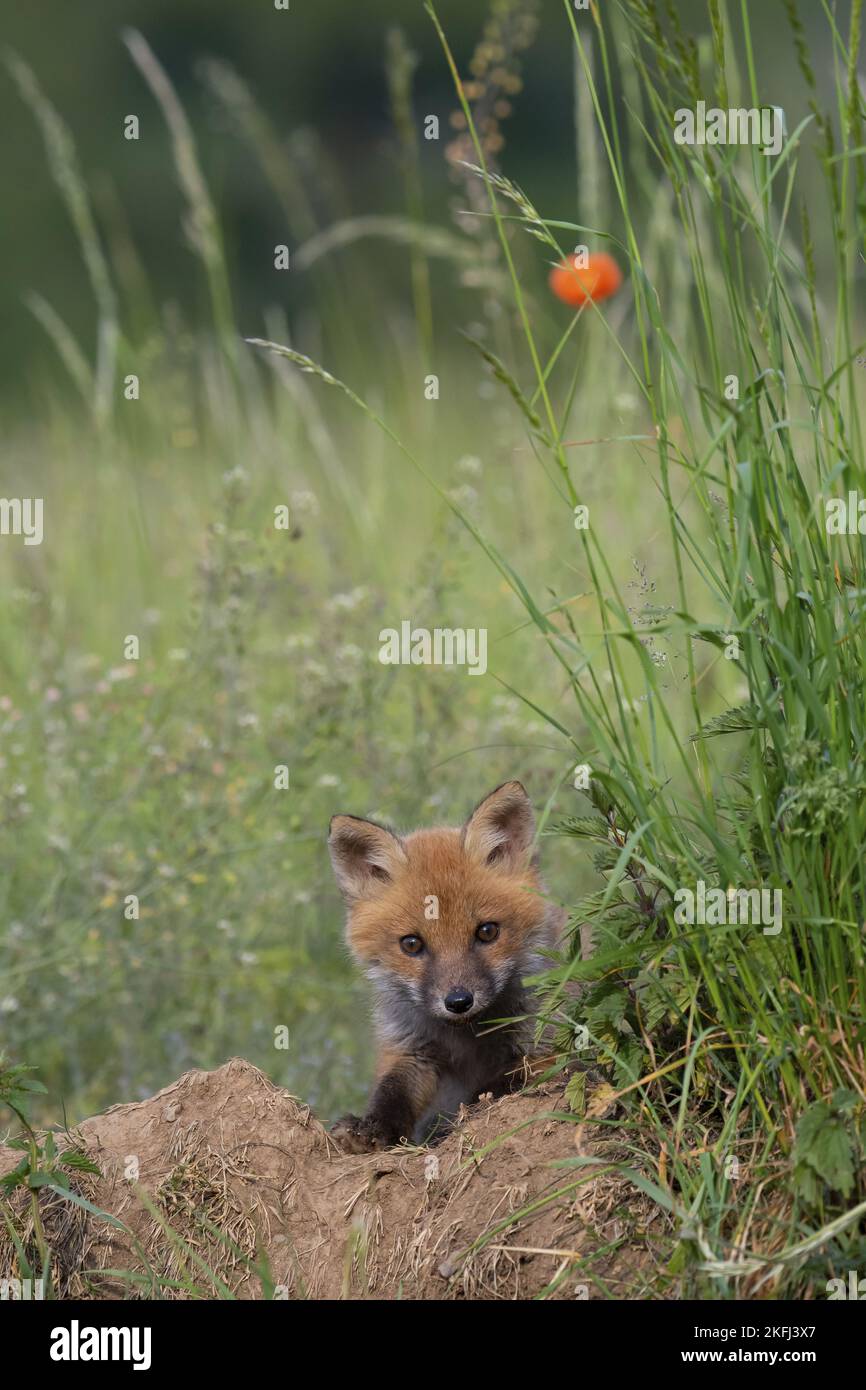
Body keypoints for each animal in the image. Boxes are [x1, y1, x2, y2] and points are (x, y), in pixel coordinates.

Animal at [328, 781, 564, 1152]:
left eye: (487, 931)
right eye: (411, 944)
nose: (458, 1002)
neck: (468, 1037)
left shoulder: (544, 1045)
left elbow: (492, 1090)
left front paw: (453, 1127)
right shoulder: (410, 1046)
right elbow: (392, 1092)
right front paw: (372, 1128)